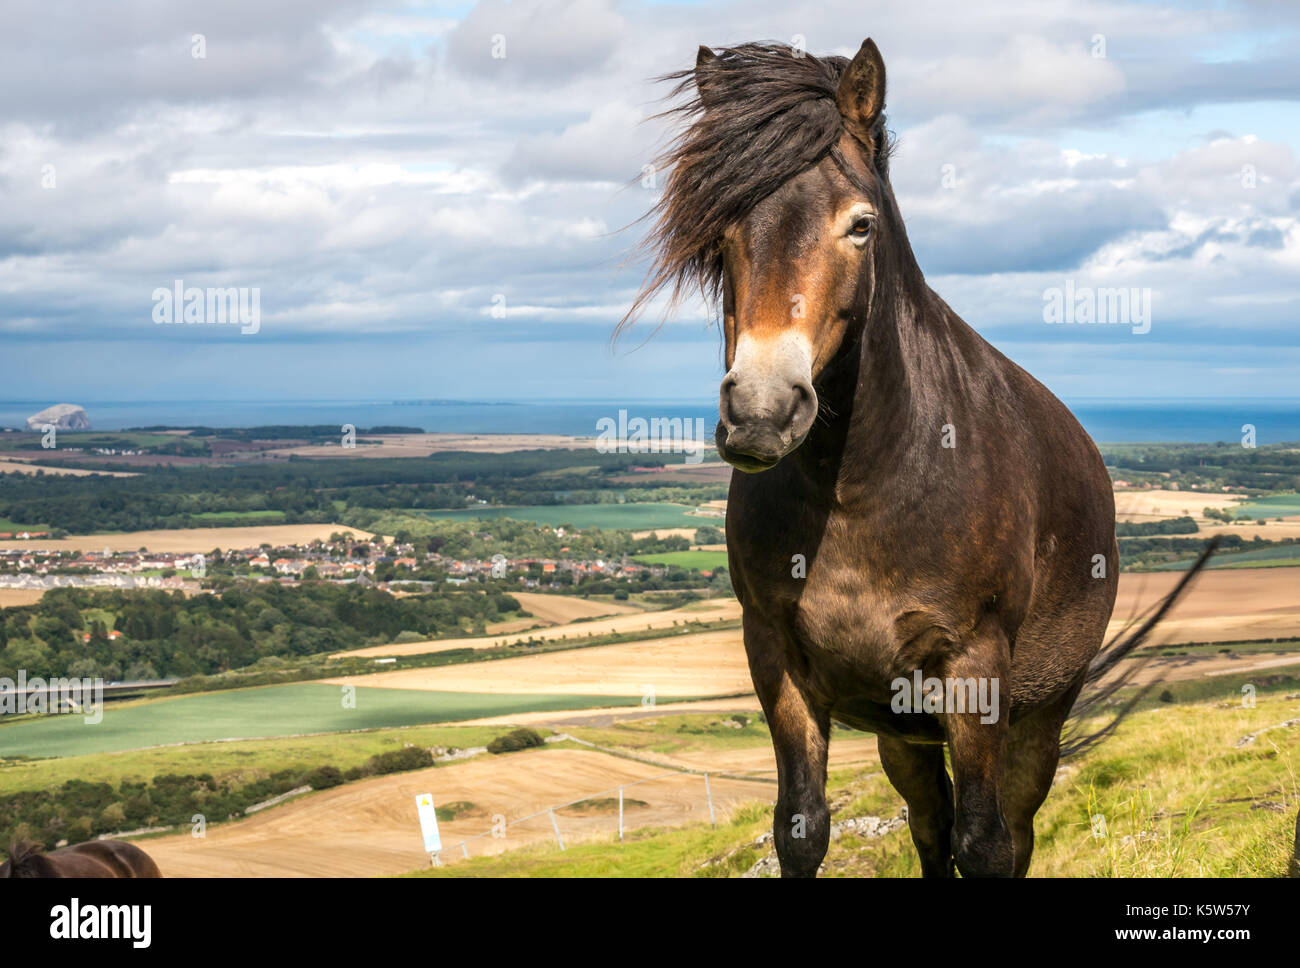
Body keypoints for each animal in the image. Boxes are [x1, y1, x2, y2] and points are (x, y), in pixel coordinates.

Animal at [624, 39, 1214, 877]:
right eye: (719, 230)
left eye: (860, 225)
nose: (762, 411)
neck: (862, 488)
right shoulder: (778, 660)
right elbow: (802, 827)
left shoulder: (975, 671)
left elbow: (987, 841)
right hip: (902, 732)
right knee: (929, 821)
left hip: (1036, 718)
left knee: (1012, 827)